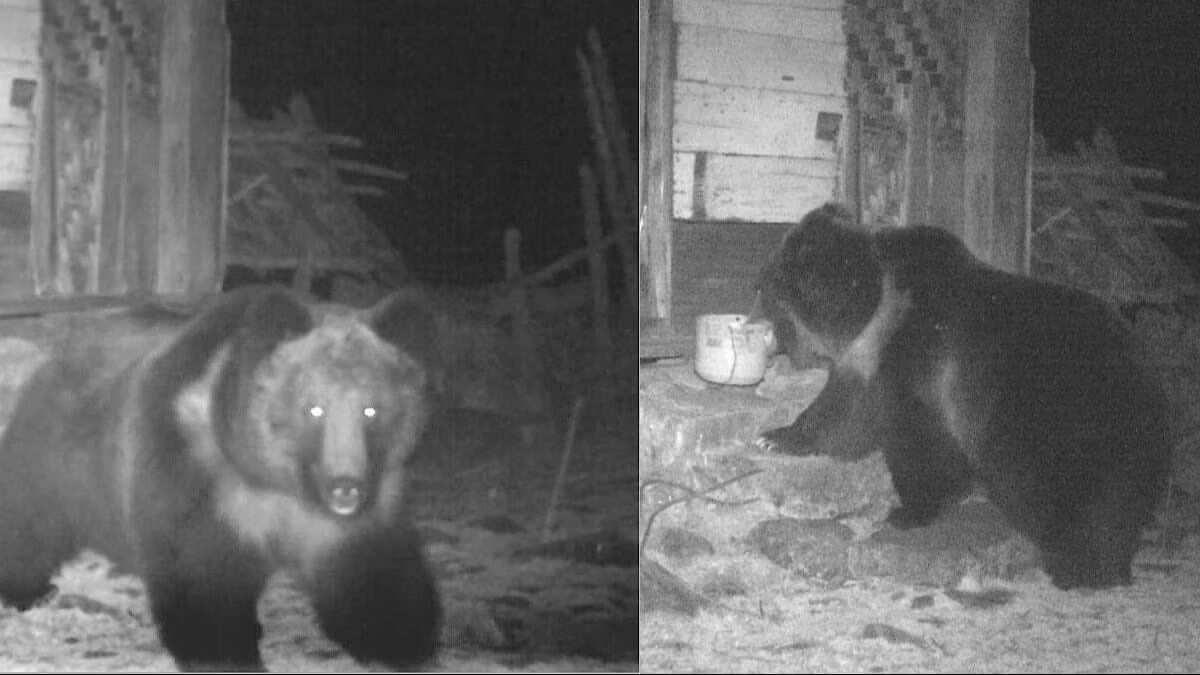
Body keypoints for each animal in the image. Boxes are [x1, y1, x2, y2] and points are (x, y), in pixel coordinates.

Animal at [0, 285, 442, 671]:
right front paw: (226, 652)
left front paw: (402, 641)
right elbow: (203, 578)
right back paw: (28, 587)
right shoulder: (195, 476)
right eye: (313, 408)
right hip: (57, 456)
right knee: (27, 519)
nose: (345, 485)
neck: (274, 479)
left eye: (372, 409)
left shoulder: (354, 511)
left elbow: (370, 574)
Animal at [754, 203, 1172, 590]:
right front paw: (776, 436)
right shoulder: (874, 359)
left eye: (771, 287)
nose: (756, 293)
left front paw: (909, 511)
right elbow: (845, 416)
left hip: (1048, 413)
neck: (878, 308)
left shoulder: (913, 356)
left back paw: (1077, 564)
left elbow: (909, 438)